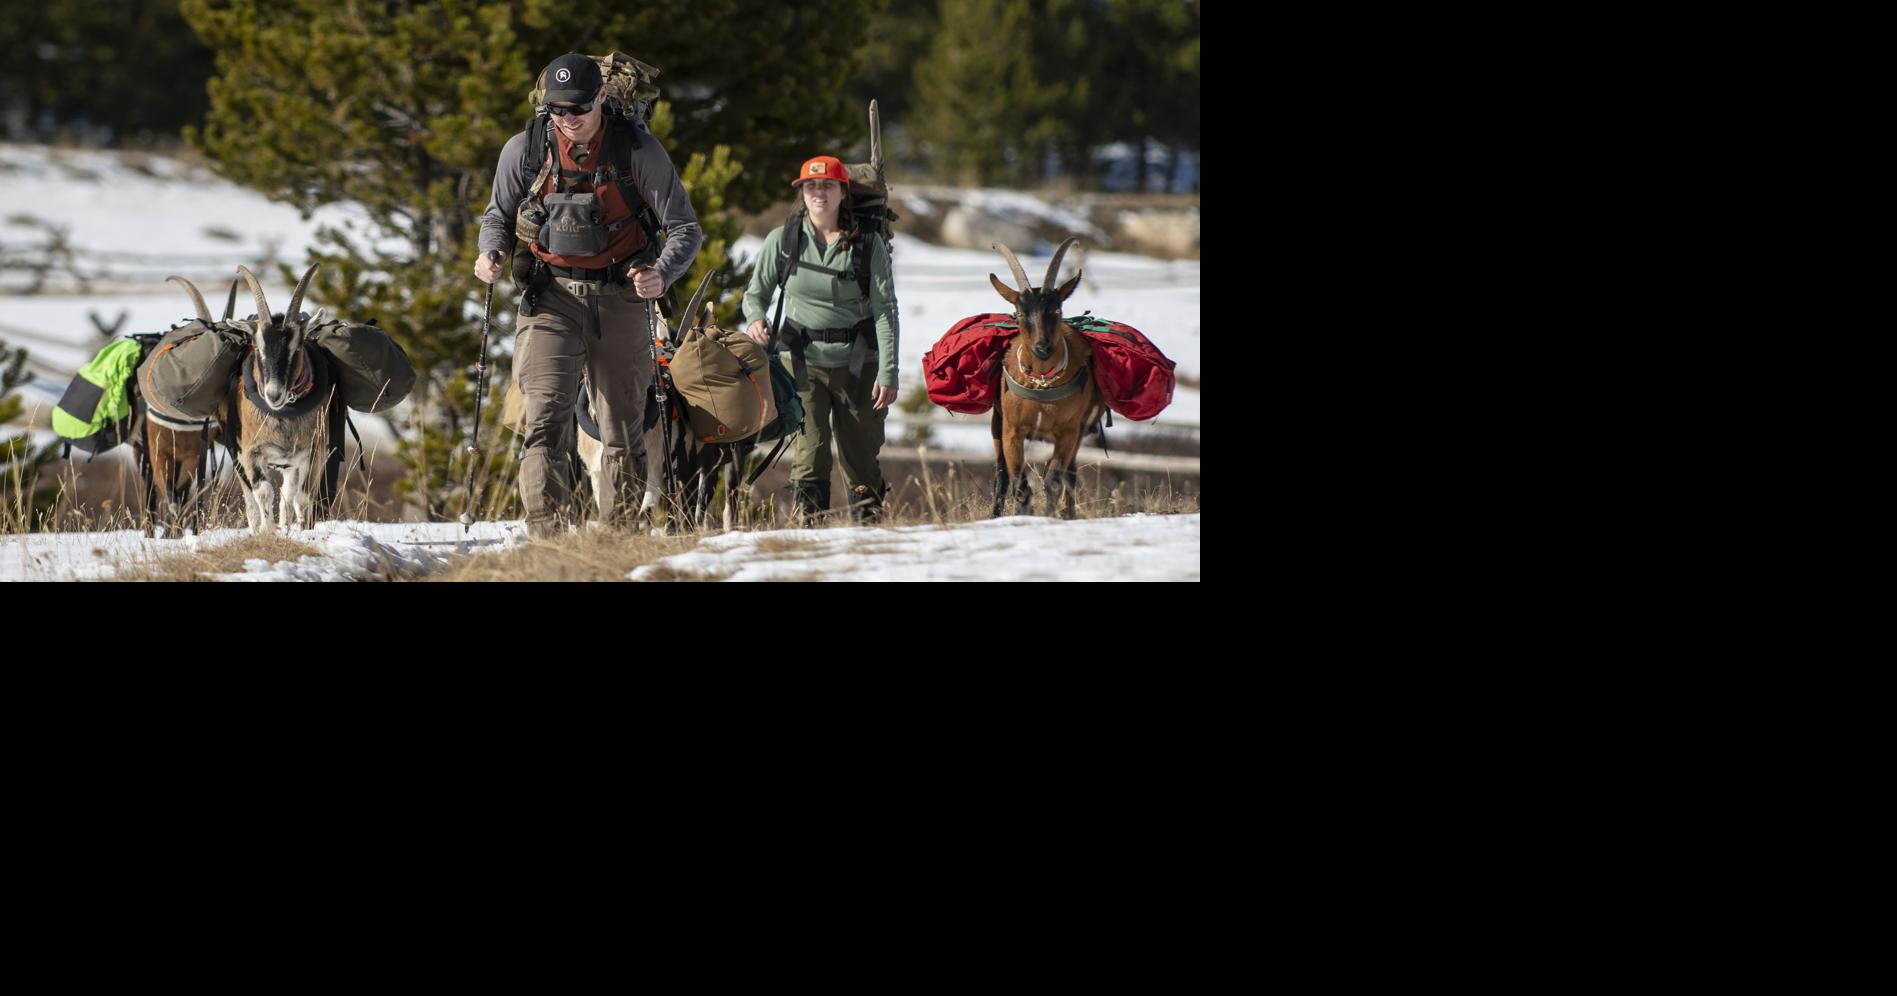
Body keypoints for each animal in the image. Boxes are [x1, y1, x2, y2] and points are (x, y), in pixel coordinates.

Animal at [989, 237, 1104, 519]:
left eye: (1056, 309)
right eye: (1019, 313)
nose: (1043, 347)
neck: (1041, 387)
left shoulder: (1069, 431)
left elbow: (1053, 481)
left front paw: (1048, 516)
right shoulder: (1011, 431)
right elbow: (1019, 484)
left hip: (1079, 431)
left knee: (1069, 475)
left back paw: (1069, 514)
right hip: (997, 423)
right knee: (1001, 478)